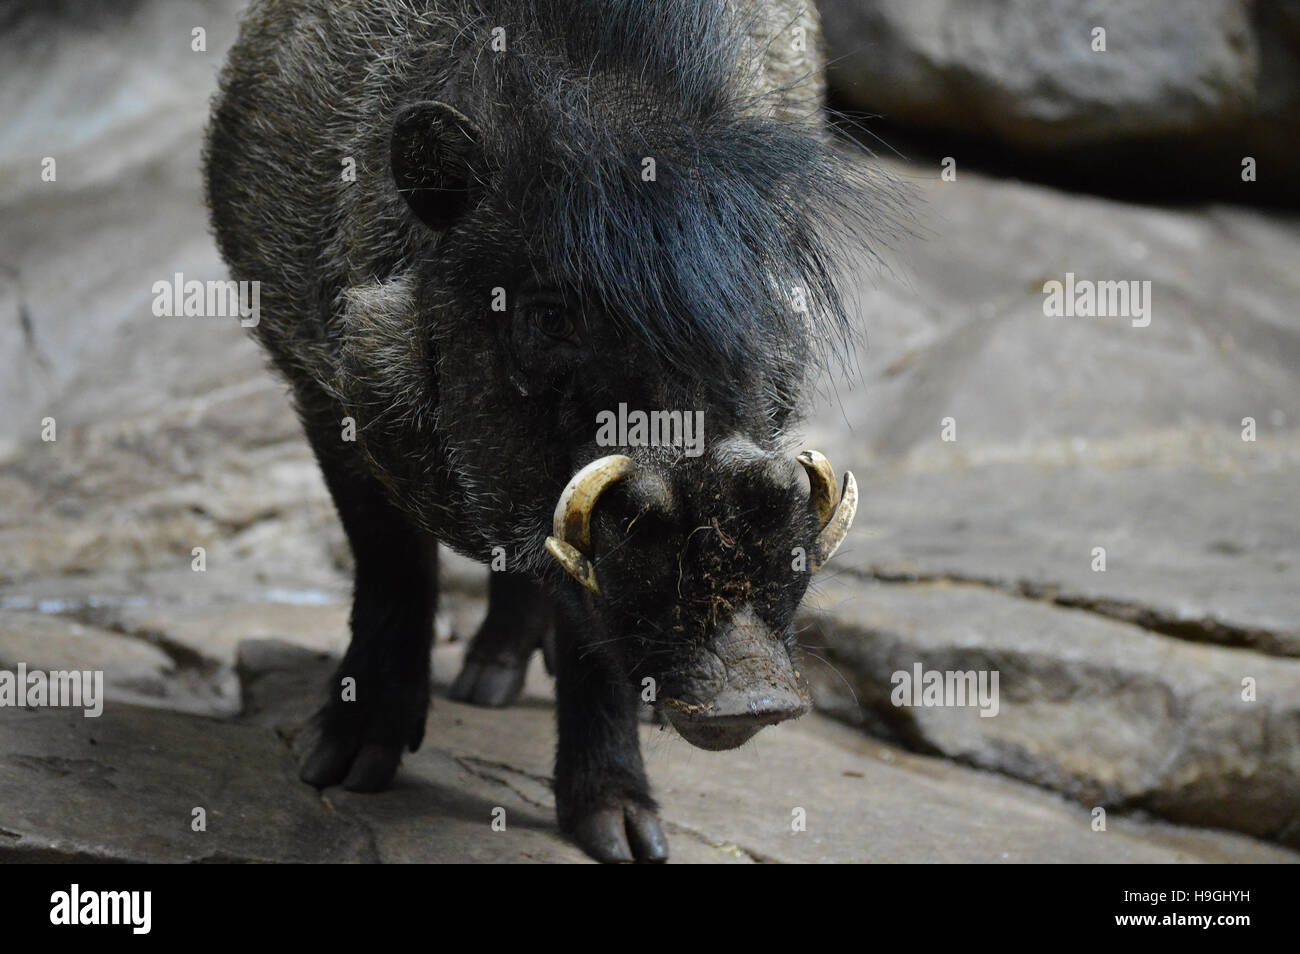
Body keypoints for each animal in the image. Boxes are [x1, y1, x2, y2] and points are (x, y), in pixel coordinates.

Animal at [204, 0, 890, 862]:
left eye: (761, 305)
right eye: (548, 315)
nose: (752, 694)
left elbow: (585, 636)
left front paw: (628, 841)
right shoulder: (322, 386)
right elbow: (389, 562)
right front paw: (342, 772)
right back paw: (478, 690)